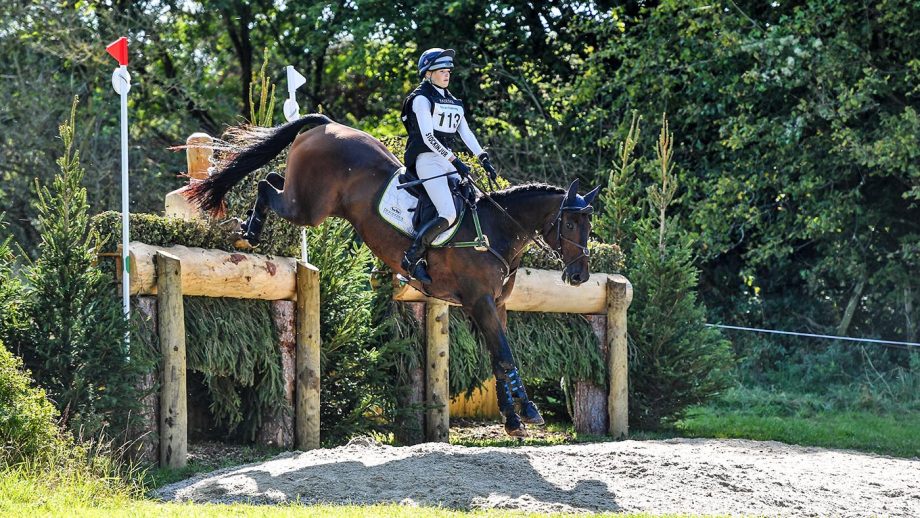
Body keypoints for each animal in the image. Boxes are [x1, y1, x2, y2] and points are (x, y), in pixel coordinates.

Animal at [187, 113, 600, 437]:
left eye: (589, 225)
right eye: (570, 224)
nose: (580, 275)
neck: (497, 229)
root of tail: (326, 124)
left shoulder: (494, 305)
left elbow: (500, 358)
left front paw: (516, 416)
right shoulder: (480, 302)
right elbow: (504, 354)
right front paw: (525, 413)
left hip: (304, 198)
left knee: (271, 177)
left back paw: (248, 227)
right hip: (308, 208)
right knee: (264, 185)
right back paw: (249, 232)